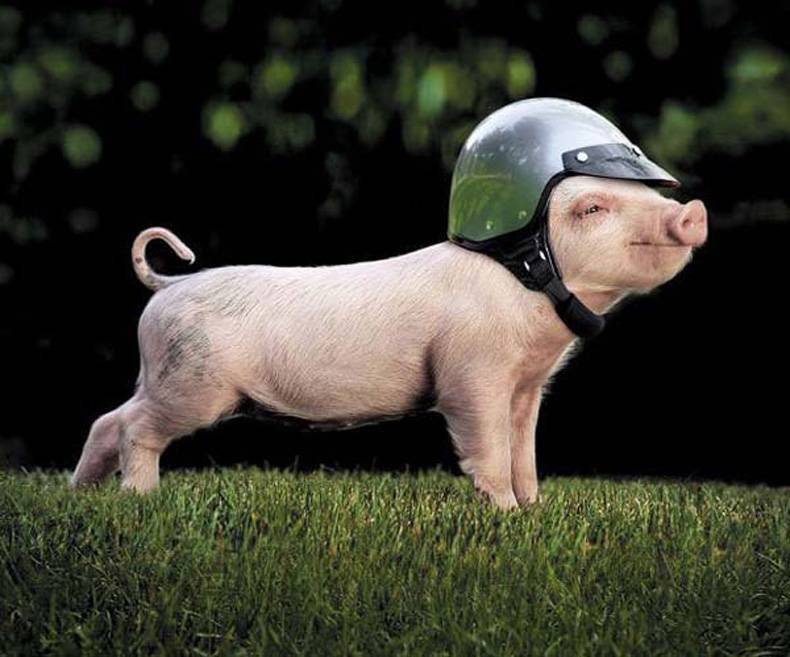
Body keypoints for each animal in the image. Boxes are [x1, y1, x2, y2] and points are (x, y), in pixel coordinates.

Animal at [70, 175, 707, 509]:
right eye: (592, 208)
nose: (693, 210)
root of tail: (172, 282)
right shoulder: (471, 371)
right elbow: (487, 444)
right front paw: (503, 514)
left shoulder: (529, 385)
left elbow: (523, 448)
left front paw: (533, 509)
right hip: (194, 381)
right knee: (134, 428)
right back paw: (141, 499)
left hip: (162, 373)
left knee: (107, 419)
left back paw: (82, 491)